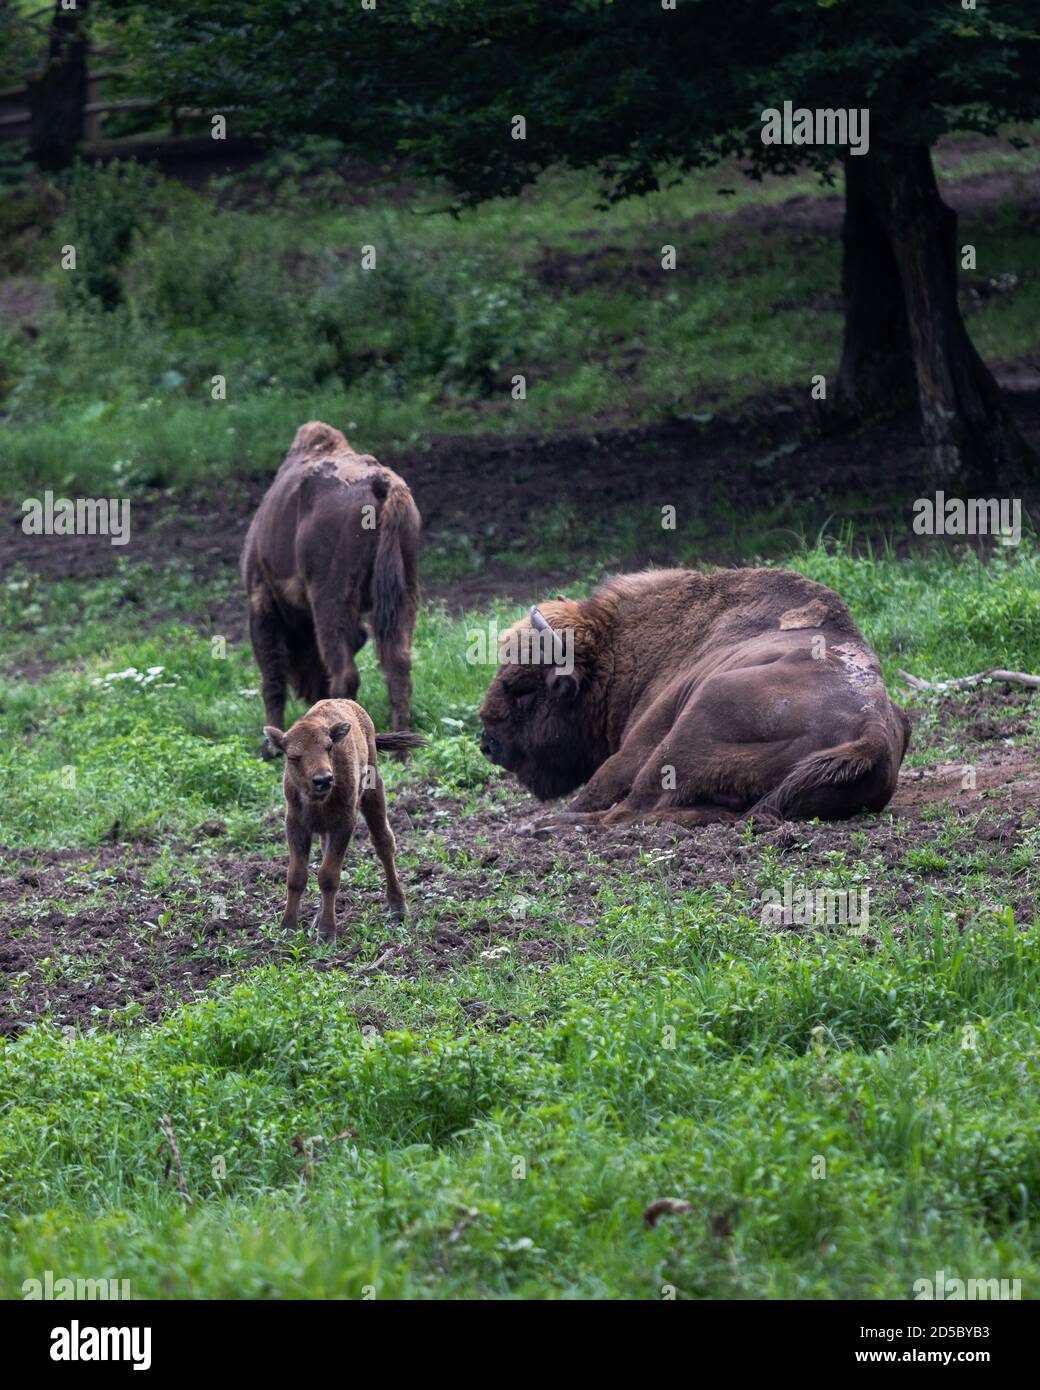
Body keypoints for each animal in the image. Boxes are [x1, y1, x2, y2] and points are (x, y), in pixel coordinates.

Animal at [242, 421, 420, 743]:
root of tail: (382, 484)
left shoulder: (261, 600)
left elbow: (272, 677)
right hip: (405, 590)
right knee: (398, 666)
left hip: (330, 596)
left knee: (345, 673)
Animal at [479, 567, 910, 828]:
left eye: (524, 688)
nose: (488, 744)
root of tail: (871, 730)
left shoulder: (632, 752)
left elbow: (598, 794)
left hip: (691, 724)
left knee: (624, 812)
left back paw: (540, 826)